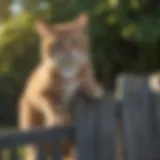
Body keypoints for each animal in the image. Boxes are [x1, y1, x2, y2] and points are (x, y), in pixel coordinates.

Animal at [18, 13, 104, 159]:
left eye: (74, 41)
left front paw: (94, 88)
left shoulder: (85, 75)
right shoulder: (36, 93)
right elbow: (51, 104)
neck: (68, 73)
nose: (67, 51)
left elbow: (86, 80)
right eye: (57, 44)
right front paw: (55, 119)